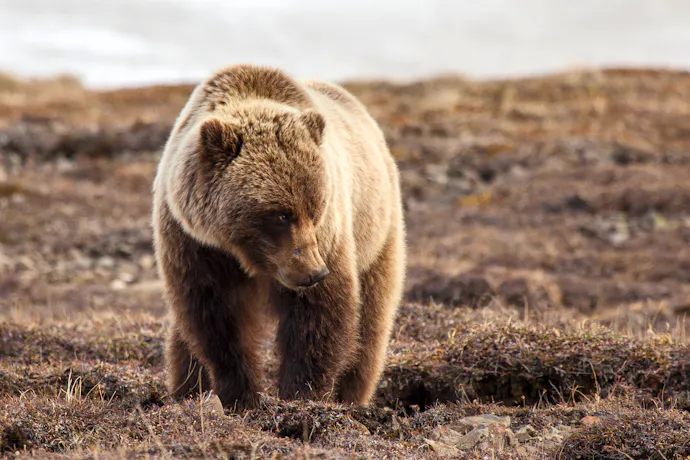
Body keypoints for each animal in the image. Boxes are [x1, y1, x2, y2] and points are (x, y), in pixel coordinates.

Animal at [151, 63, 406, 410]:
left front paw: (302, 395)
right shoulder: (194, 244)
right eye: (281, 215)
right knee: (183, 340)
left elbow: (319, 316)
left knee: (371, 322)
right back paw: (186, 390)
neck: (244, 254)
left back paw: (353, 396)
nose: (314, 272)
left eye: (316, 207)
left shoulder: (330, 238)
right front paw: (240, 396)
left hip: (377, 232)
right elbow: (215, 318)